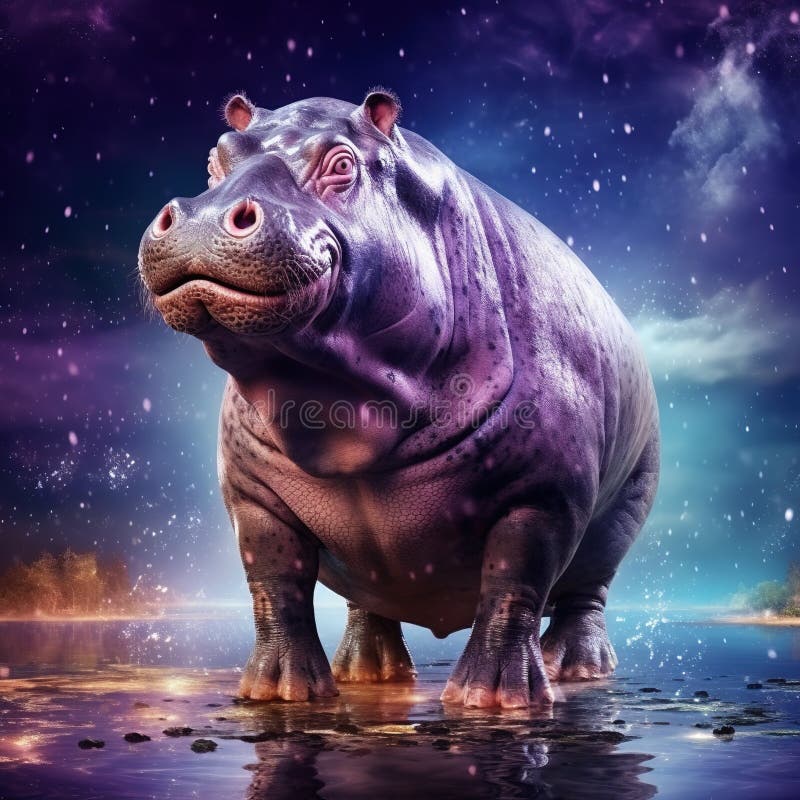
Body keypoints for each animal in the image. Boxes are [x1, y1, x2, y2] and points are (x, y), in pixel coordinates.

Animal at [138, 90, 660, 709]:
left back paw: (578, 671)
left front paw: (491, 701)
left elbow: (513, 583)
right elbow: (274, 584)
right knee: (367, 600)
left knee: (585, 591)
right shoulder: (253, 496)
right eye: (215, 160)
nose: (200, 218)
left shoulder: (542, 495)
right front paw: (277, 694)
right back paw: (367, 674)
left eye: (342, 163)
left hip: (625, 503)